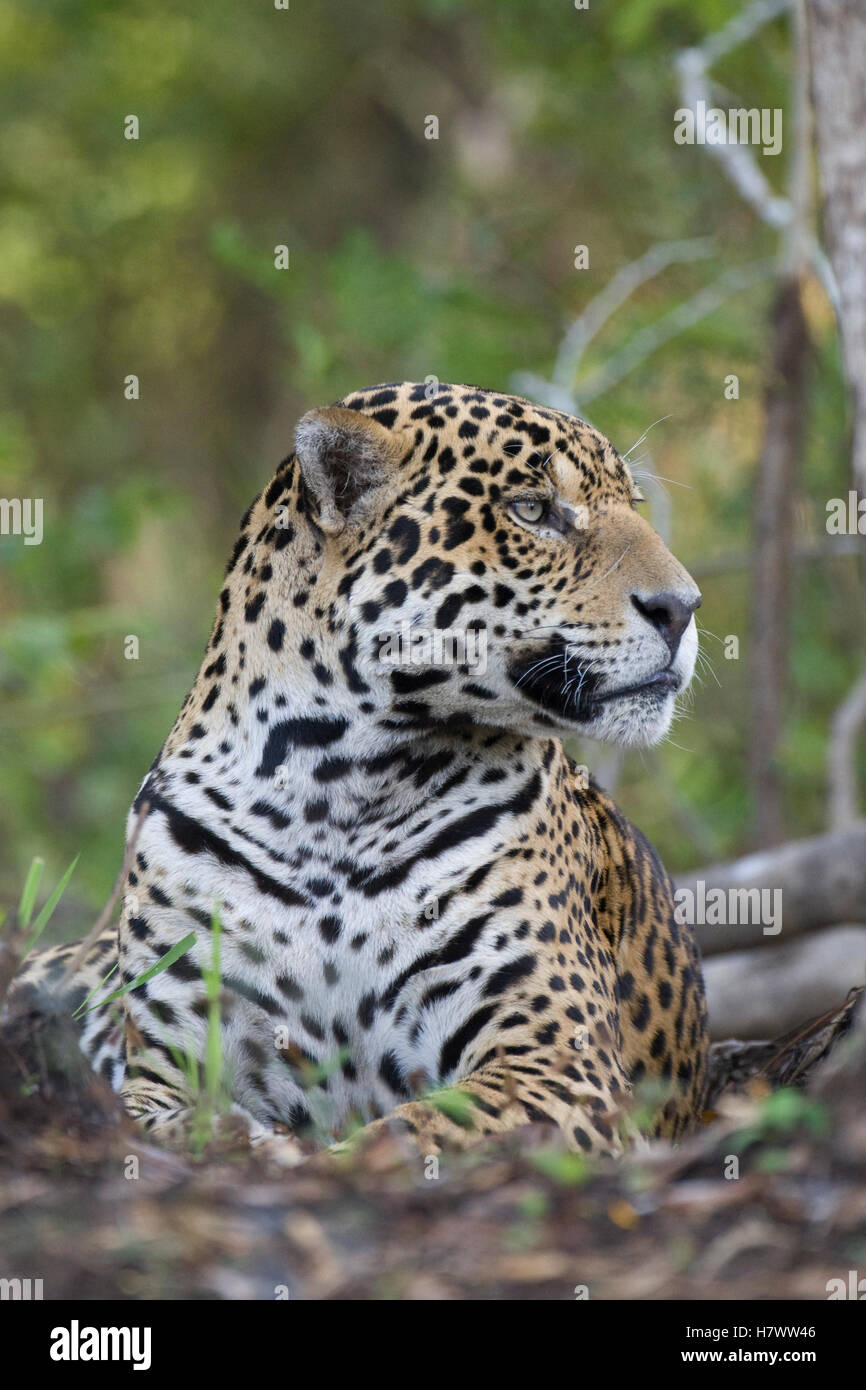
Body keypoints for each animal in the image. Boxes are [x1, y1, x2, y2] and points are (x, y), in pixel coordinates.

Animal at [9, 381, 708, 1161]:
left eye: (634, 507)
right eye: (532, 510)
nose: (683, 607)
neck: (334, 785)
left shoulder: (557, 1059)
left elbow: (413, 1129)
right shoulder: (167, 1067)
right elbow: (165, 1118)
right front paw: (247, 1140)